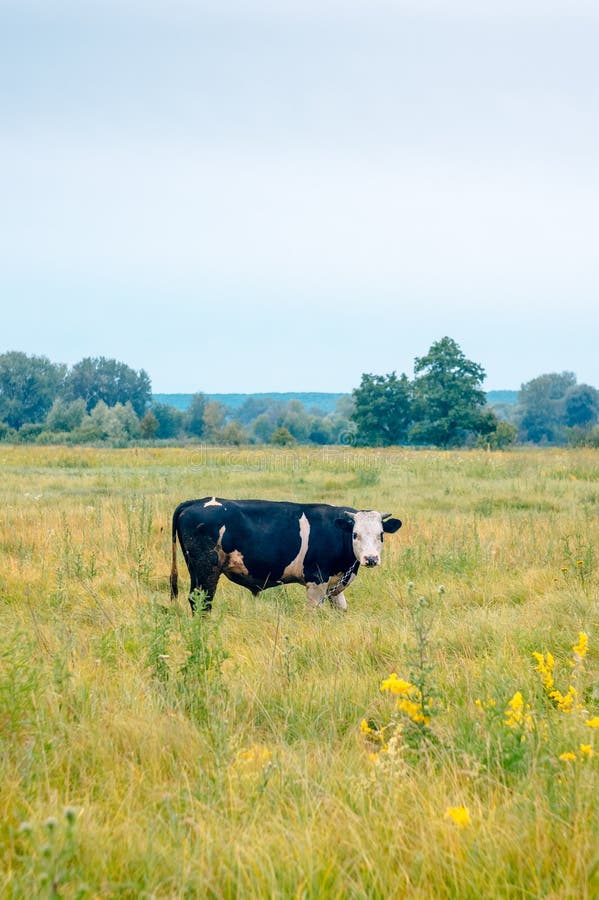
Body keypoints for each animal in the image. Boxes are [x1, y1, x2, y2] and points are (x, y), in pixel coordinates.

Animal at [170, 497, 402, 613]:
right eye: (355, 534)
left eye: (381, 534)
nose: (370, 559)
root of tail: (195, 502)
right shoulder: (316, 580)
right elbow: (313, 612)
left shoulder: (334, 585)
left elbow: (341, 611)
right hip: (206, 569)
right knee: (201, 601)